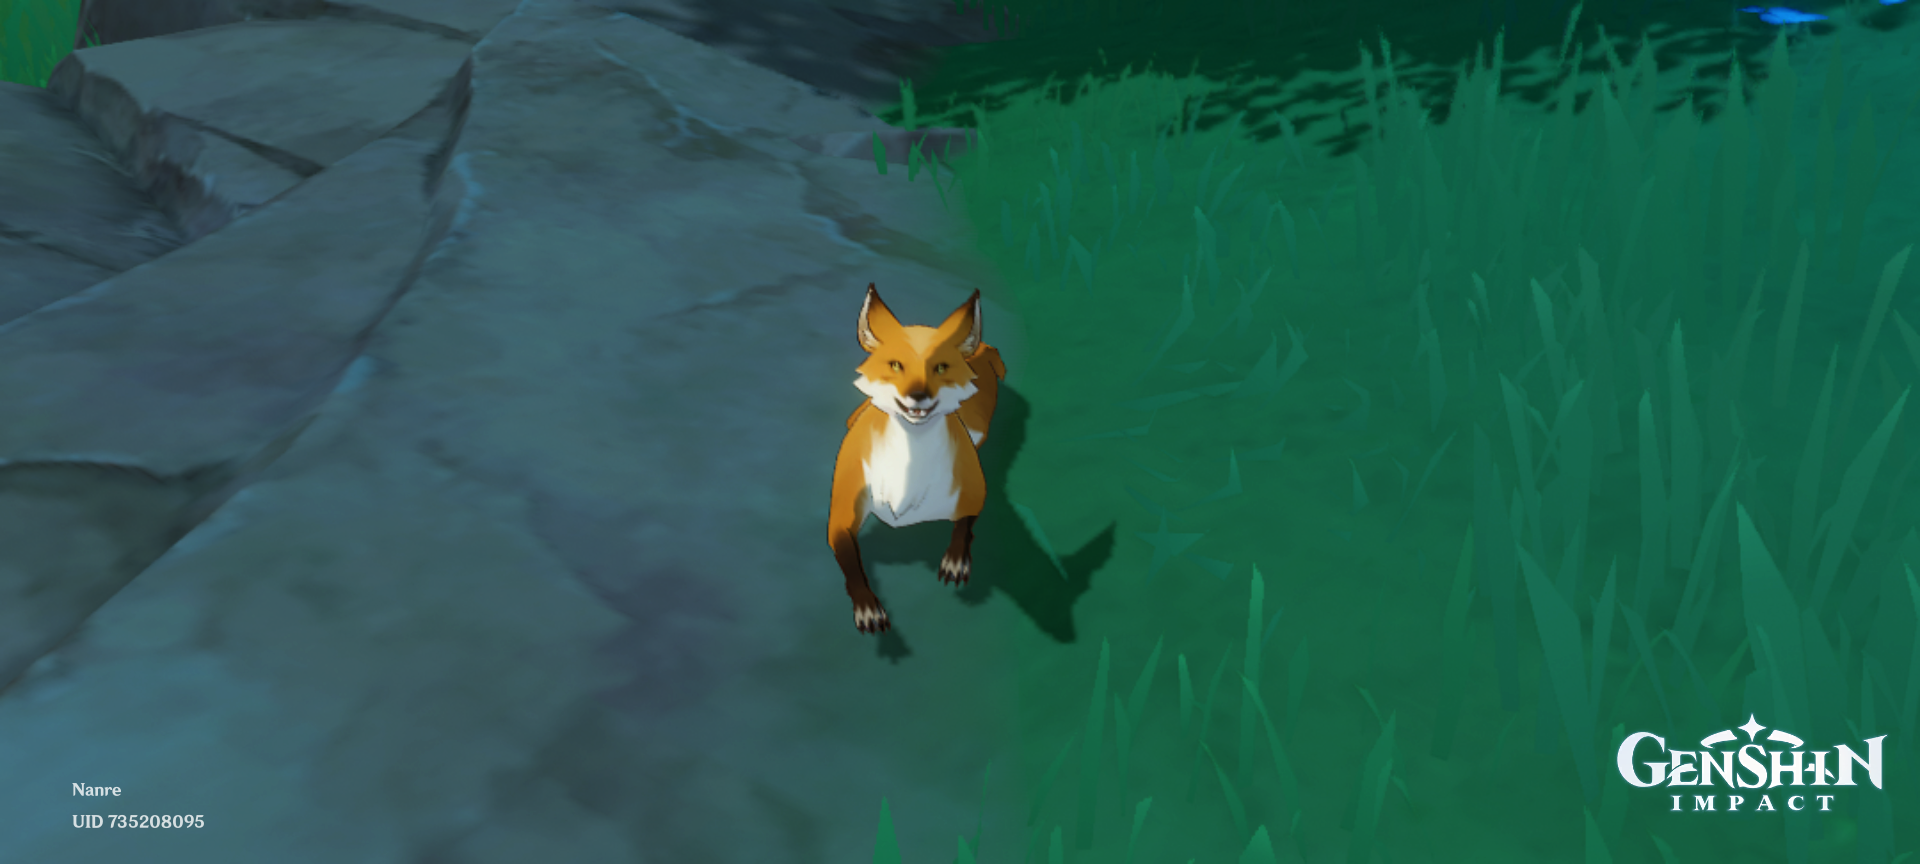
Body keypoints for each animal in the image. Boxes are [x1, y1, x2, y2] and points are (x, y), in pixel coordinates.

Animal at [829, 284, 1007, 634]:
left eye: (940, 367)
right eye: (896, 365)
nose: (918, 396)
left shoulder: (975, 492)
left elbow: (965, 526)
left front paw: (956, 560)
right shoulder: (840, 514)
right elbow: (852, 565)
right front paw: (867, 607)